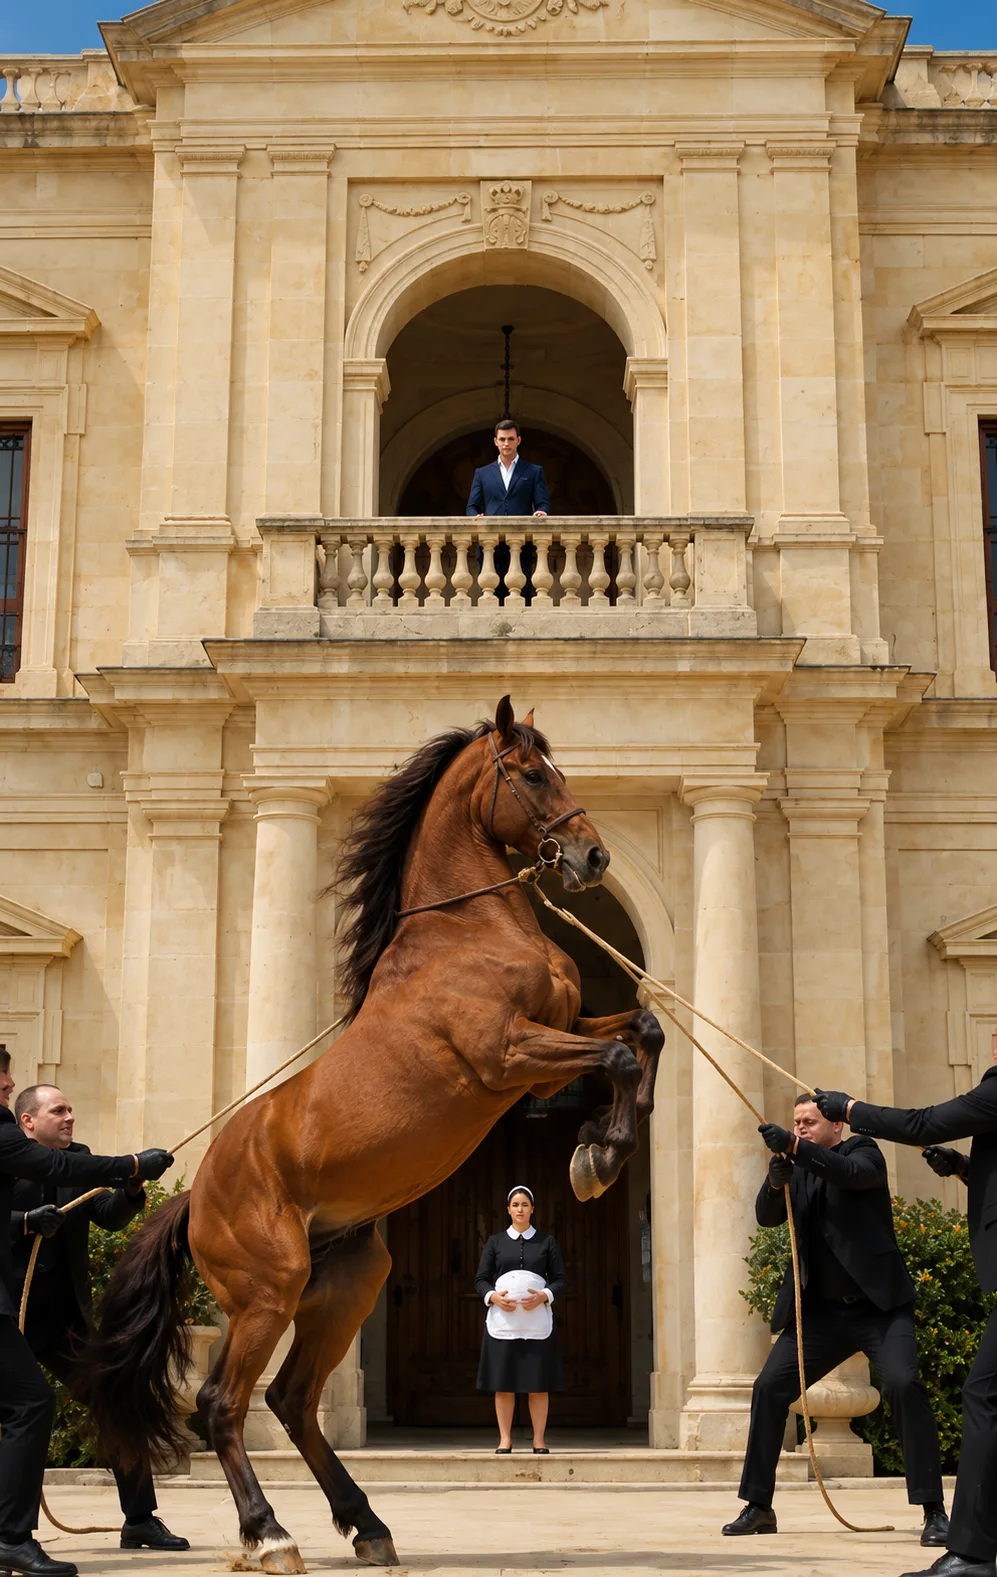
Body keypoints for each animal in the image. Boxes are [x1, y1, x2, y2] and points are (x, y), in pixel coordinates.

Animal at [78, 696, 663, 1570]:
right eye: (530, 774)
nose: (591, 857)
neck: (465, 932)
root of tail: (194, 1197)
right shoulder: (509, 1056)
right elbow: (622, 1051)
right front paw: (600, 1153)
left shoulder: (555, 1041)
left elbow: (643, 1030)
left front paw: (599, 1143)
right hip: (268, 1291)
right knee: (223, 1401)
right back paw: (270, 1533)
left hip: (345, 1282)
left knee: (291, 1399)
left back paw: (367, 1523)